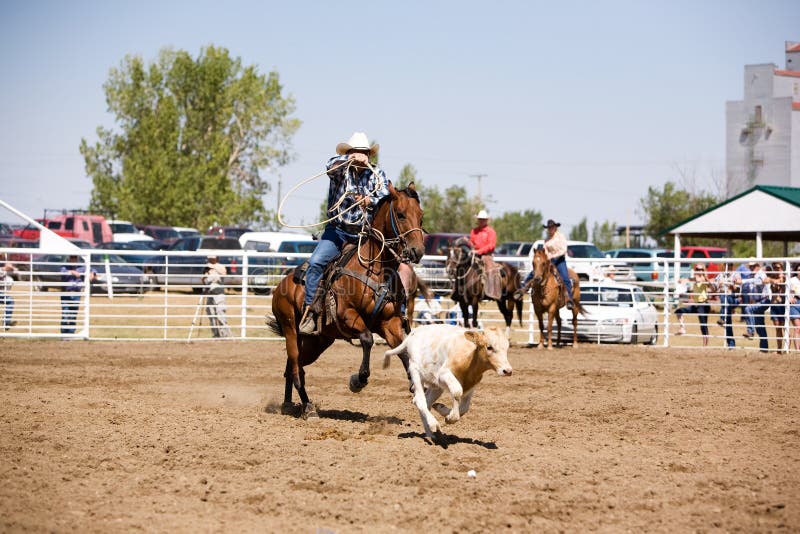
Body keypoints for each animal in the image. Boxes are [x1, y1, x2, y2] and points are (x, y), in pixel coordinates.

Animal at [383, 324, 512, 441]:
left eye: (507, 347)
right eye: (489, 347)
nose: (507, 371)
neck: (468, 359)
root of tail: (414, 333)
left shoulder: (471, 384)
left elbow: (464, 407)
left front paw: (442, 410)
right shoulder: (443, 374)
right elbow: (457, 391)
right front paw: (450, 418)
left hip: (436, 387)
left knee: (425, 402)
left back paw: (430, 434)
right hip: (416, 372)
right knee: (419, 400)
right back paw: (433, 424)